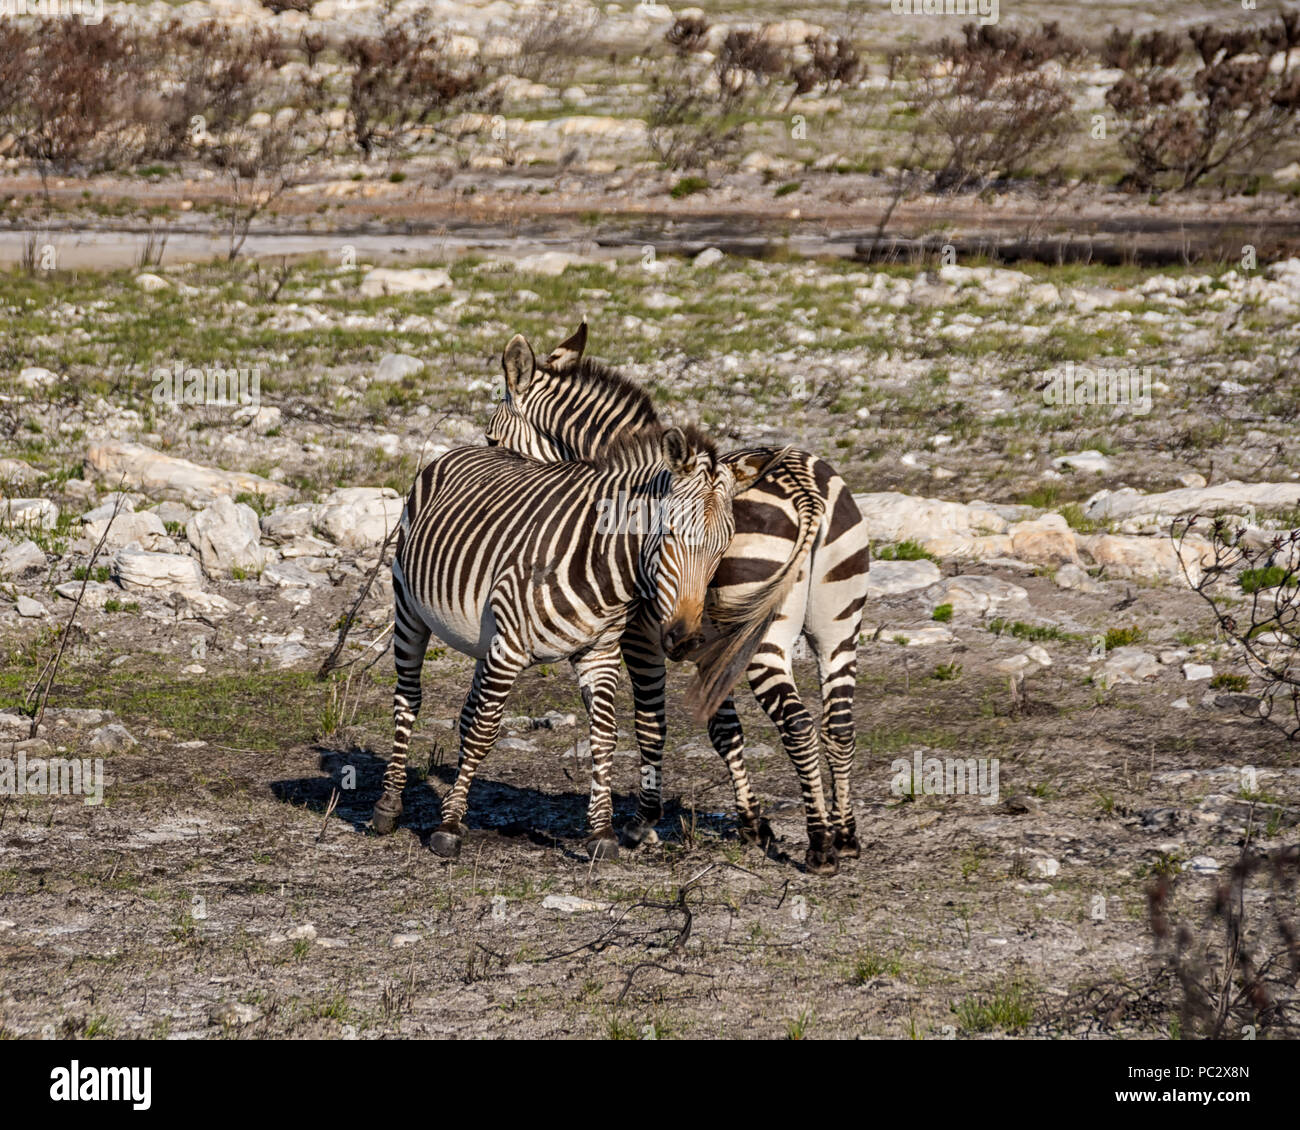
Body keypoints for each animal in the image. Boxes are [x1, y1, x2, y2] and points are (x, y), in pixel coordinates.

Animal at [373, 333, 786, 861]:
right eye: (670, 534)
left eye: (722, 545)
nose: (684, 636)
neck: (607, 556)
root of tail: (448, 455)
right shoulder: (535, 645)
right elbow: (488, 729)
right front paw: (449, 828)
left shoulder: (602, 650)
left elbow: (606, 734)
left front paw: (603, 832)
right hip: (409, 608)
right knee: (410, 697)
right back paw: (388, 806)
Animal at [486, 322, 871, 875]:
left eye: (492, 440)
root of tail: (803, 487)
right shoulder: (707, 649)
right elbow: (724, 729)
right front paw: (753, 825)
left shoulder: (640, 636)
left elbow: (651, 723)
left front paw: (642, 822)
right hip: (840, 624)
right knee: (839, 723)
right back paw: (846, 835)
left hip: (764, 637)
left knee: (798, 723)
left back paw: (820, 845)